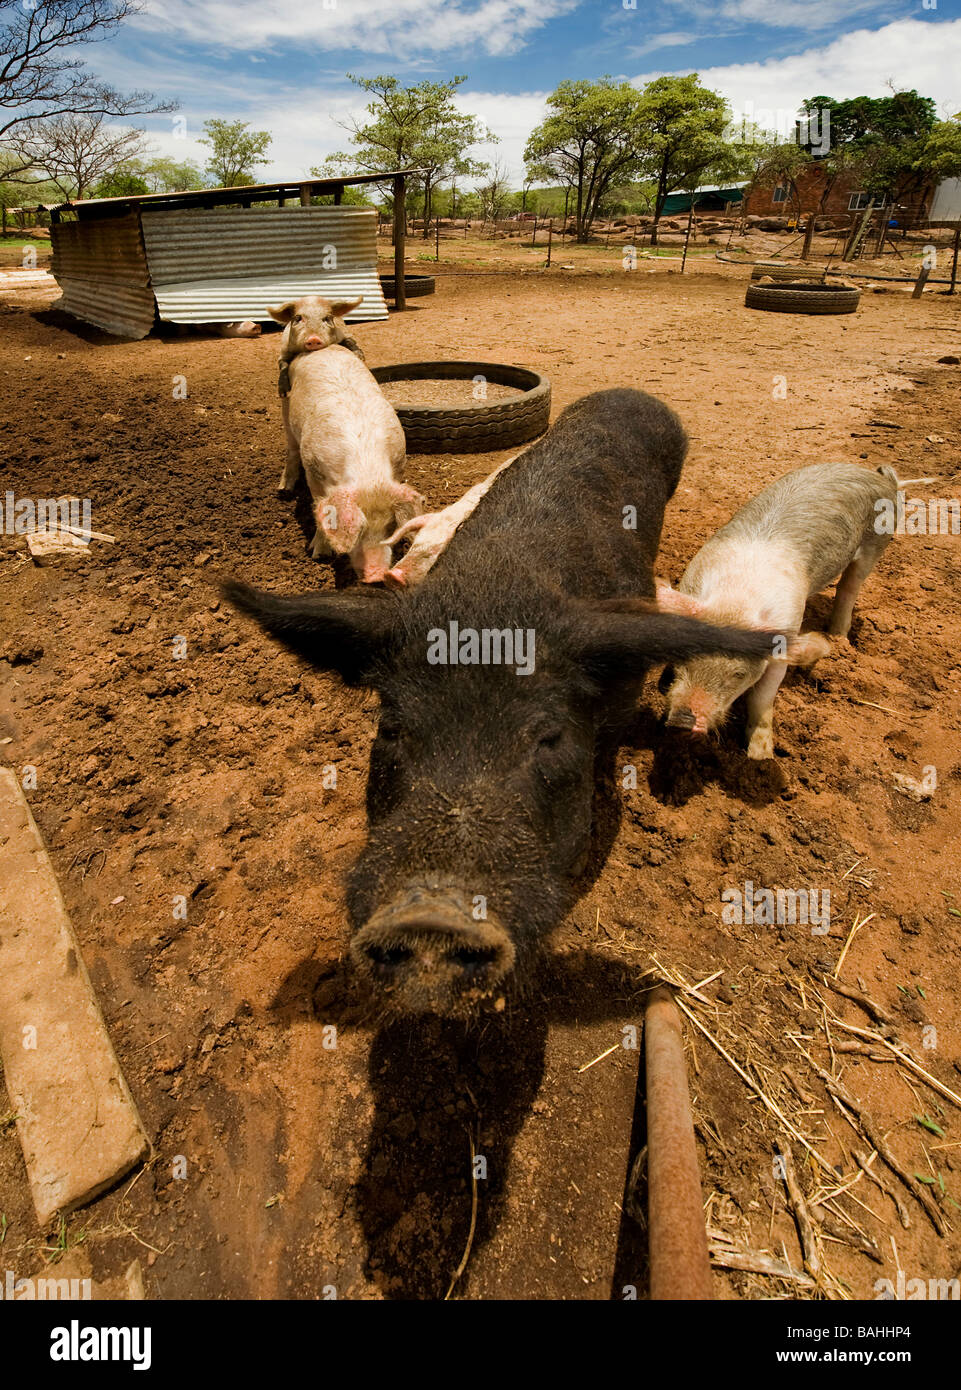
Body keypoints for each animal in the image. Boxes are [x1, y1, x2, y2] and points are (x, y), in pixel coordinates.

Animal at [268, 332, 424, 584]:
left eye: (391, 526)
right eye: (357, 531)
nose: (376, 575)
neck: (367, 468)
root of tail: (322, 347)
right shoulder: (313, 472)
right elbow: (319, 508)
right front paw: (319, 555)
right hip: (285, 408)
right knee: (291, 450)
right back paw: (284, 490)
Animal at [659, 461, 898, 760]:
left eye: (738, 675)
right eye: (680, 659)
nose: (681, 723)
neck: (736, 599)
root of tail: (880, 477)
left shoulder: (785, 635)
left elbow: (762, 696)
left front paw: (760, 756)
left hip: (875, 545)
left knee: (850, 587)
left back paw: (838, 639)